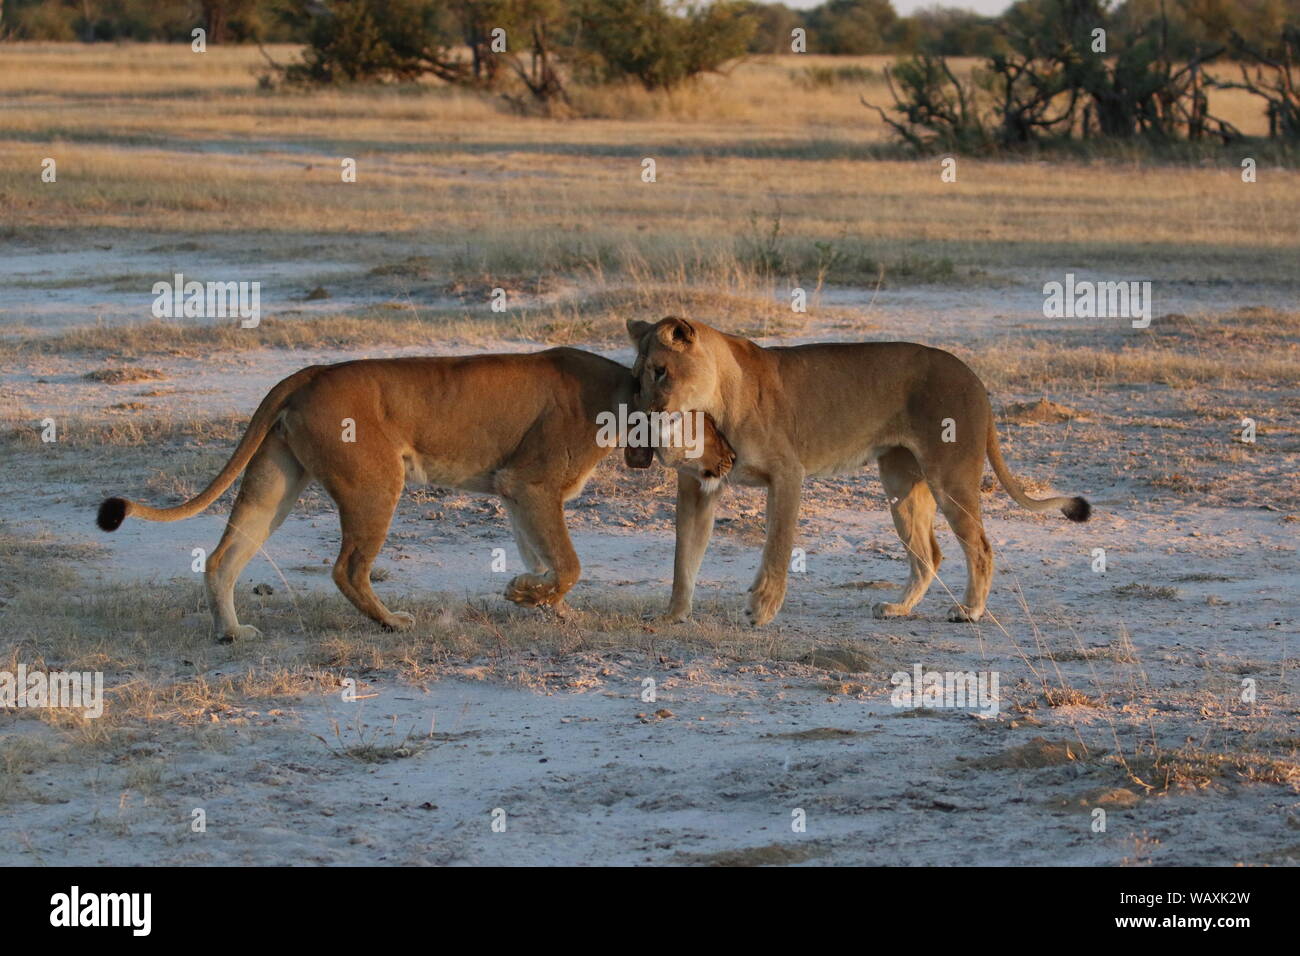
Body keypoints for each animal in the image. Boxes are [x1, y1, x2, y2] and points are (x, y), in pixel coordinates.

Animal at [97, 350, 650, 642]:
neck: (620, 389)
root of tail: (311, 372)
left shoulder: (514, 491)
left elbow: (542, 557)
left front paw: (541, 601)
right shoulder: (530, 484)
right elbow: (568, 562)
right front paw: (535, 597)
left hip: (273, 482)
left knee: (221, 557)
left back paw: (232, 633)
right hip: (376, 483)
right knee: (347, 569)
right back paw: (391, 622)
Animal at [628, 316, 1091, 627]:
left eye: (660, 372)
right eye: (636, 377)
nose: (644, 415)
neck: (714, 399)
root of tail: (973, 376)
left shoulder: (788, 474)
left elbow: (777, 548)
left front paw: (761, 609)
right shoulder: (698, 486)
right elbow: (684, 556)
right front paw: (673, 615)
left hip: (951, 477)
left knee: (980, 546)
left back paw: (969, 611)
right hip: (901, 483)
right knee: (929, 553)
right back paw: (897, 608)